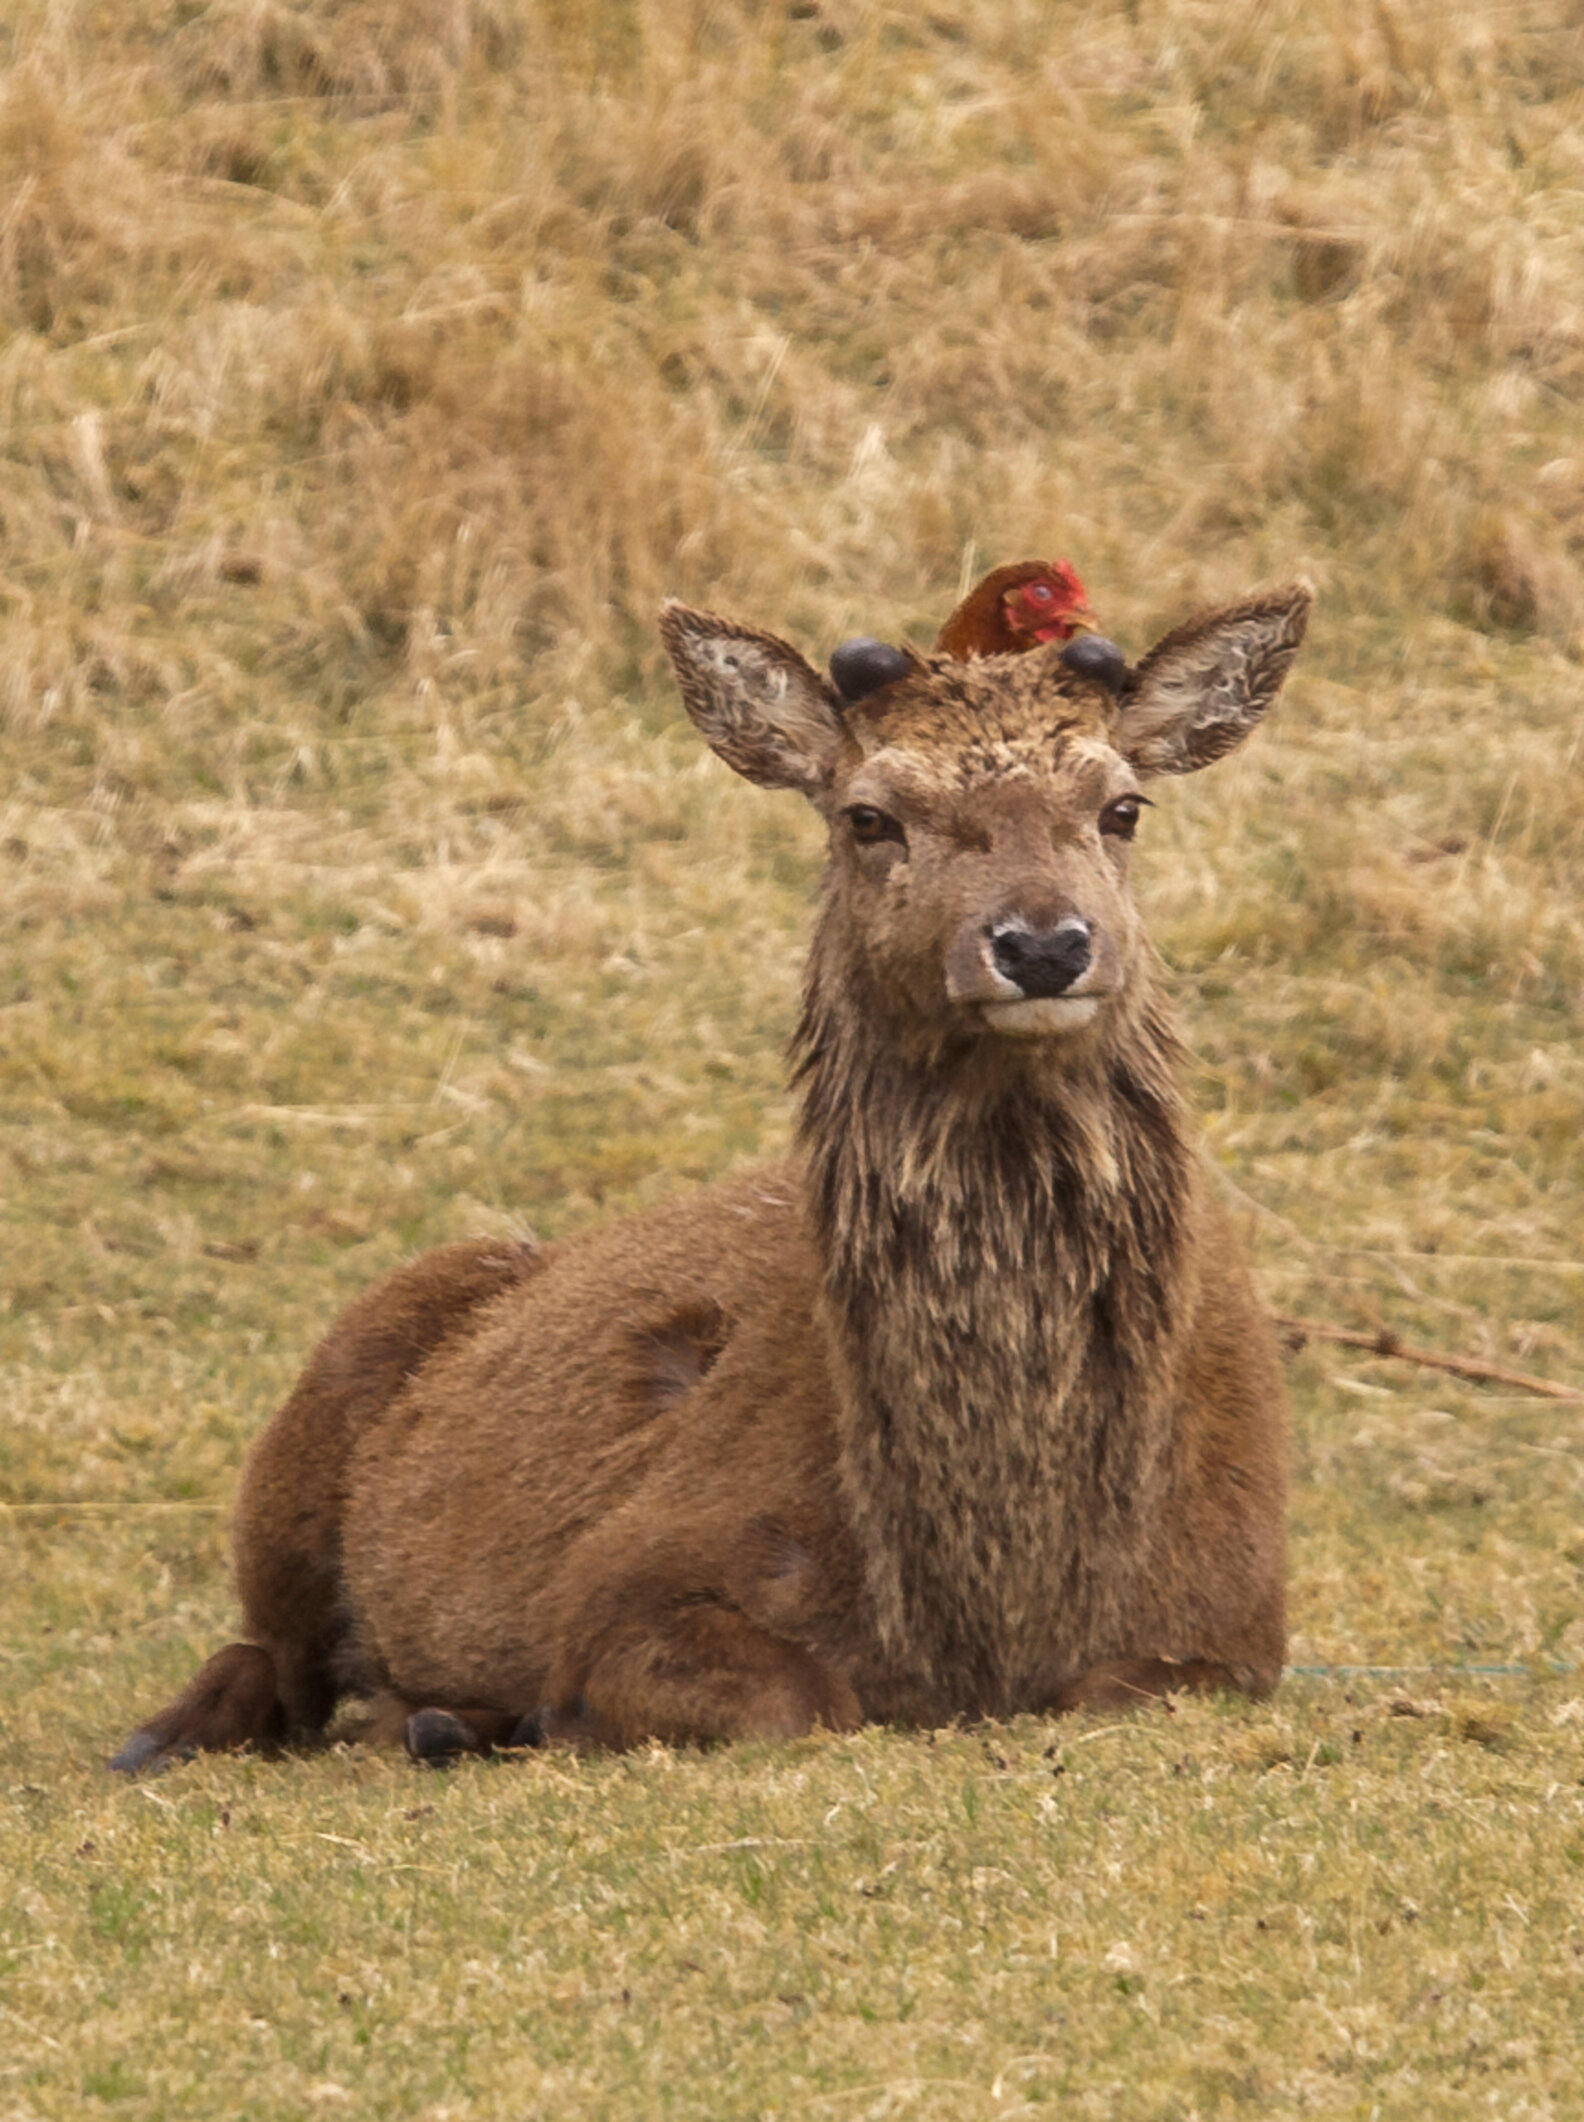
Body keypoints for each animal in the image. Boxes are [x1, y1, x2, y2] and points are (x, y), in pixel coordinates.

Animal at [110, 577, 1312, 1773]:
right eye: (868, 815)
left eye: (1121, 808)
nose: (1044, 944)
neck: (988, 1601)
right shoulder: (628, 1574)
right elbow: (799, 1697)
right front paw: (555, 1713)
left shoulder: (1238, 1625)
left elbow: (1125, 1687)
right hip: (296, 1454)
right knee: (267, 1664)